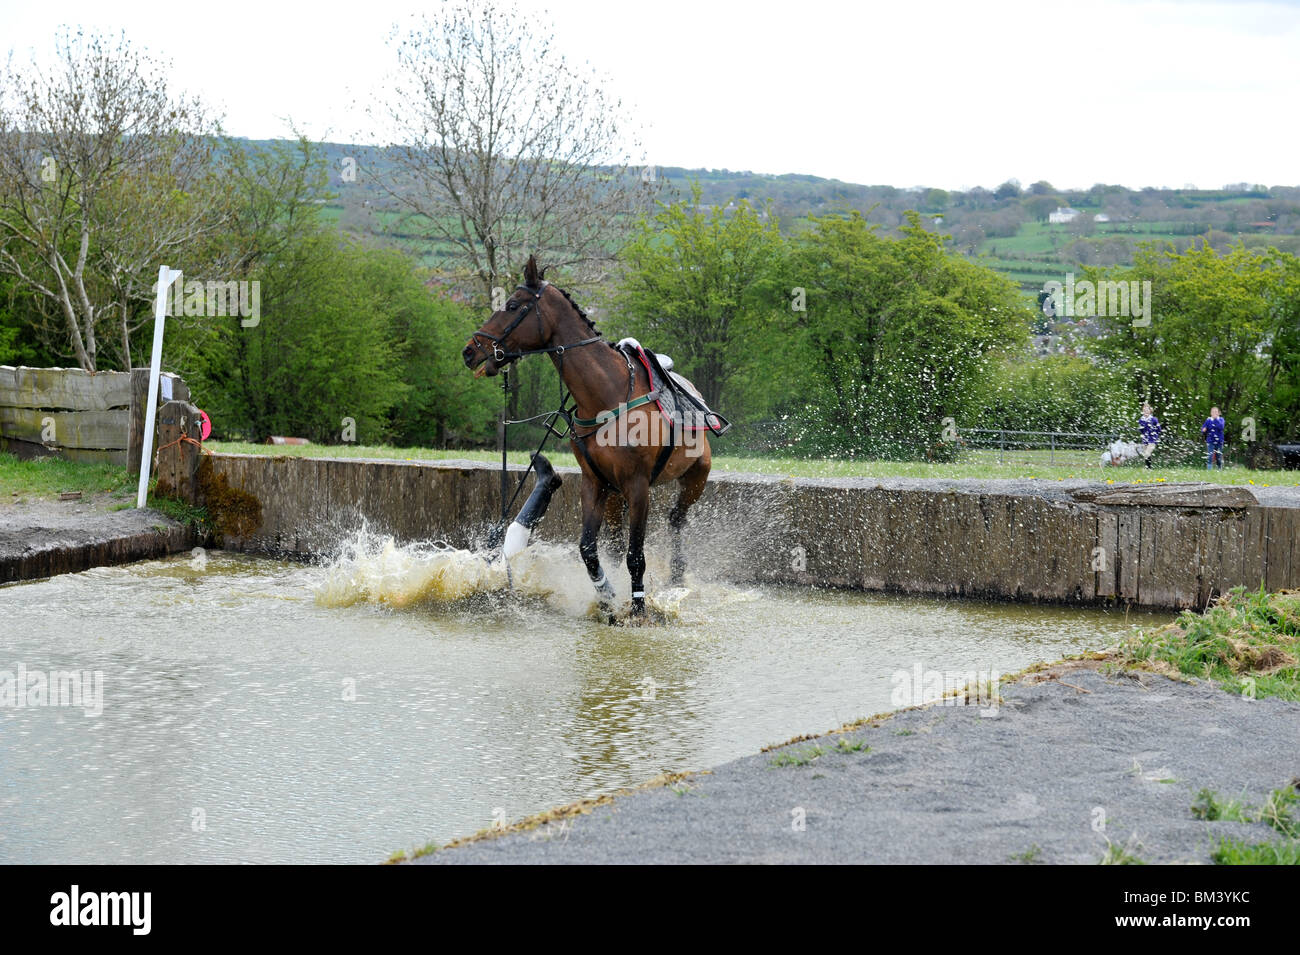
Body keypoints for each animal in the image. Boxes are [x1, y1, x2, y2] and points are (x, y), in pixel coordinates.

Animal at [462, 255, 712, 621]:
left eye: (512, 306)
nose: (470, 351)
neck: (607, 396)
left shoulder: (638, 486)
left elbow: (636, 555)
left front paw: (638, 608)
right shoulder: (594, 483)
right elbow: (588, 549)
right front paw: (606, 596)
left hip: (695, 478)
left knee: (676, 521)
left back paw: (677, 578)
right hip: (615, 496)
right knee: (617, 541)